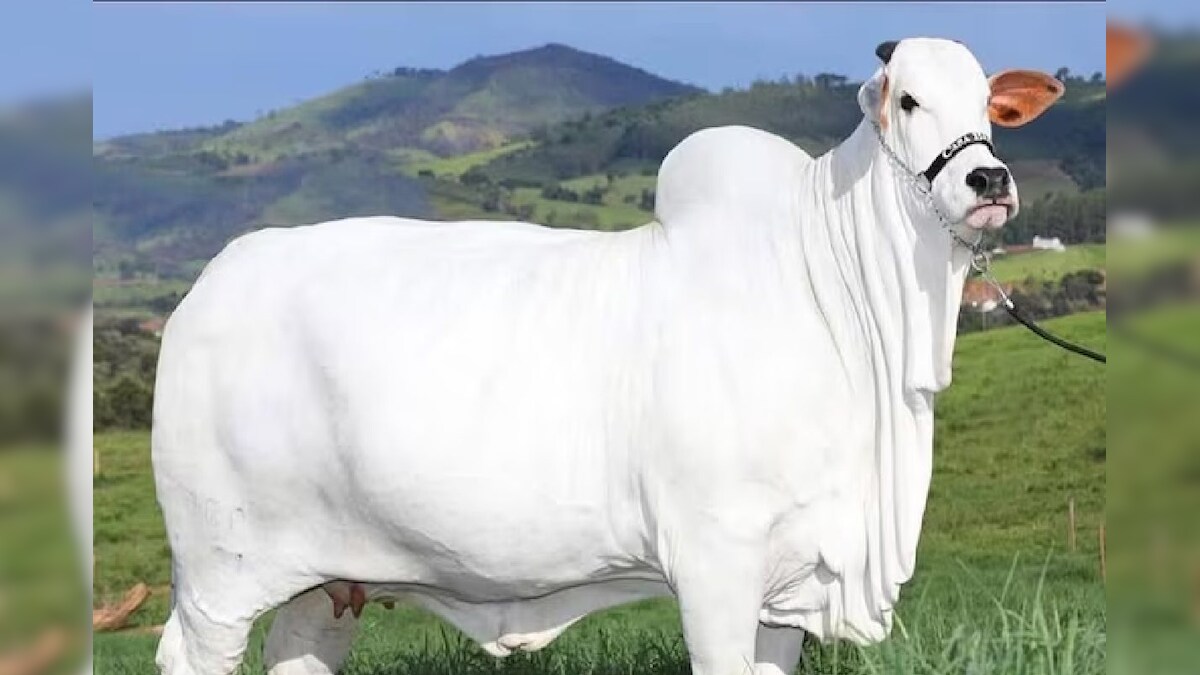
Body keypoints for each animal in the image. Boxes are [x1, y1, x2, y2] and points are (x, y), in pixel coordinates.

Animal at [152, 38, 1063, 675]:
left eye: (988, 103)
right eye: (908, 99)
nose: (989, 180)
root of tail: (210, 286)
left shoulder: (789, 582)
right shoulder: (714, 561)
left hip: (327, 582)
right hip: (218, 574)